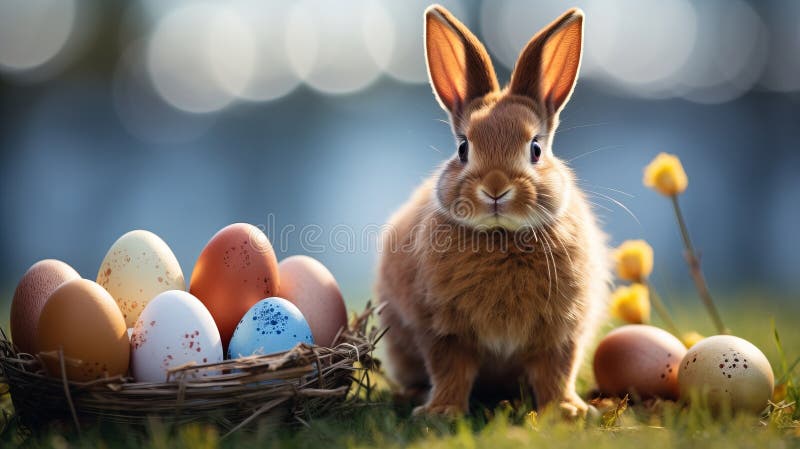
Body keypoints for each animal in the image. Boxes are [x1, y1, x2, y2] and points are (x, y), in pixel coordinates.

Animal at [375, 5, 610, 417]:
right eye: (463, 148)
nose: (496, 189)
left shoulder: (561, 330)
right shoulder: (442, 330)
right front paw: (441, 413)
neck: (502, 237)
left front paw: (568, 411)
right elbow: (450, 369)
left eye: (535, 148)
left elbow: (556, 370)